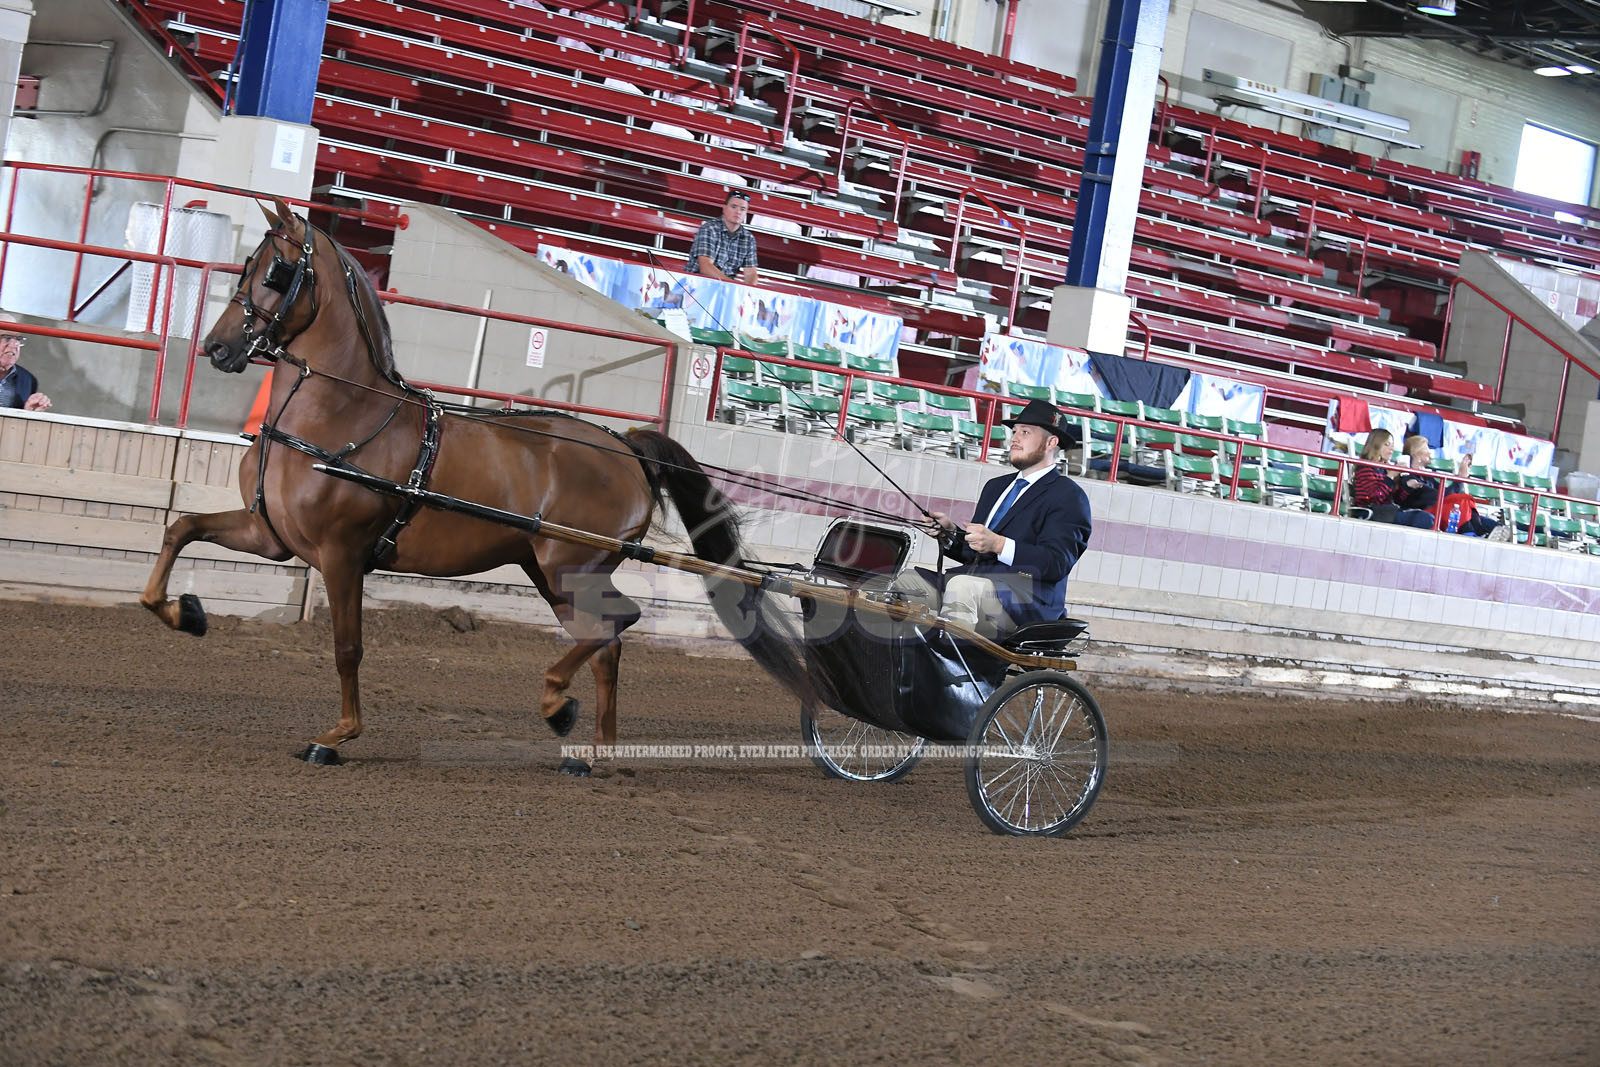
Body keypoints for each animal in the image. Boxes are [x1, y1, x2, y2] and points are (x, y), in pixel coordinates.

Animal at [140, 197, 815, 770]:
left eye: (276, 273)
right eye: (247, 266)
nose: (218, 347)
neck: (339, 415)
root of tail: (624, 446)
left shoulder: (340, 554)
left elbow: (347, 646)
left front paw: (337, 736)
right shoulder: (272, 535)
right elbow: (180, 528)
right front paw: (183, 613)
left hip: (568, 564)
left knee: (614, 625)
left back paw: (557, 704)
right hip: (552, 572)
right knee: (606, 638)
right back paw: (595, 751)